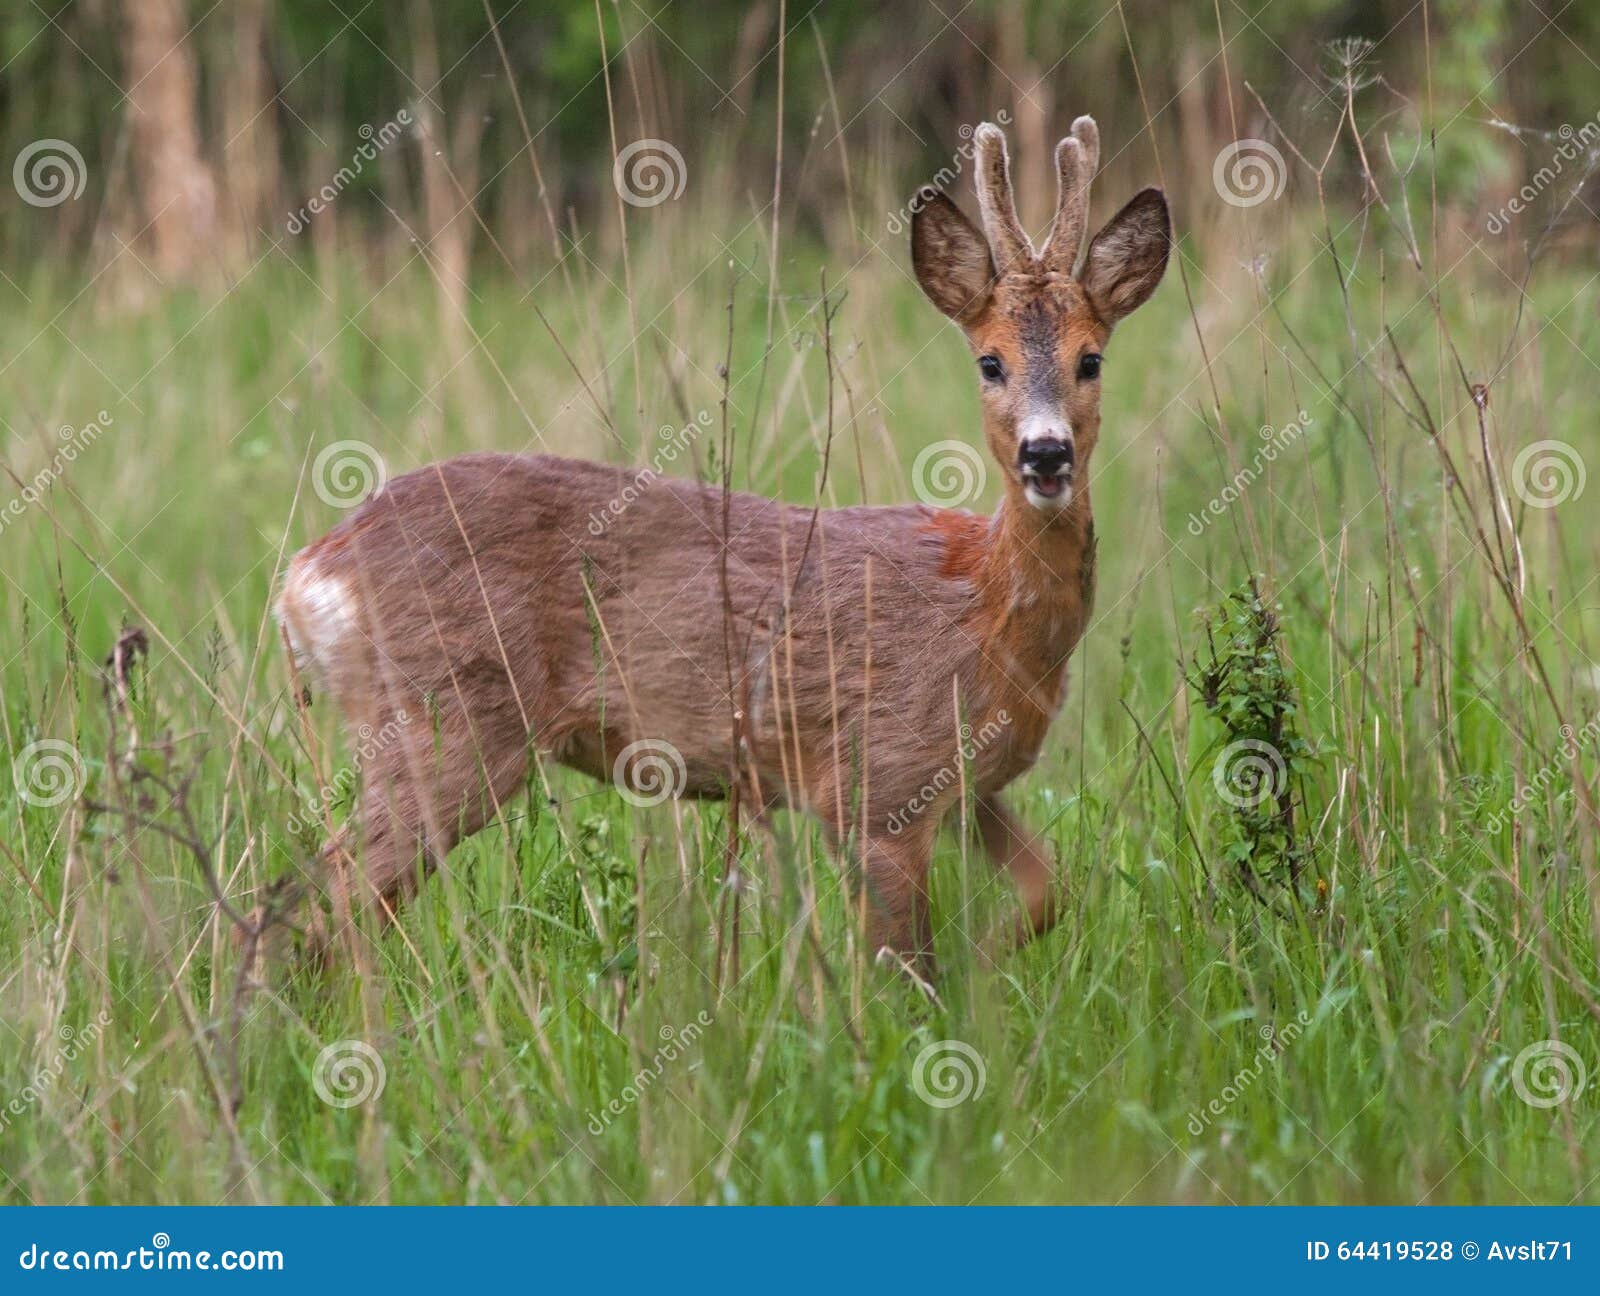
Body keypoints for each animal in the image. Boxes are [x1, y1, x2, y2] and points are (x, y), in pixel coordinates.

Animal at [273, 117, 1170, 973]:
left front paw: (988, 969)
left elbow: (1049, 894)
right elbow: (904, 967)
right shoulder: (879, 780)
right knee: (310, 914)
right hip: (443, 718)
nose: (1045, 454)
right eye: (990, 362)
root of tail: (307, 577)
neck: (987, 612)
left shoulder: (972, 789)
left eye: (1091, 359)